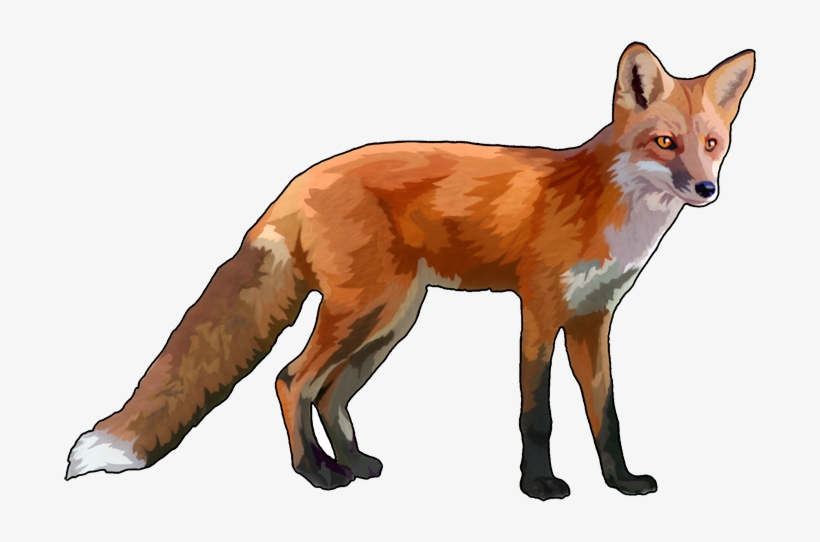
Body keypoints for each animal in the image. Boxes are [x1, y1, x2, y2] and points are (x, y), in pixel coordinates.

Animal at [65, 43, 754, 500]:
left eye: (712, 143)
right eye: (664, 142)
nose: (706, 188)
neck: (608, 205)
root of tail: (297, 182)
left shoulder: (593, 320)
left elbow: (605, 413)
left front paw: (621, 483)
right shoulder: (539, 311)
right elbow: (537, 413)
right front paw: (539, 486)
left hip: (391, 320)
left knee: (330, 393)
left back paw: (352, 463)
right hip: (365, 310)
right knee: (292, 380)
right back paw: (316, 474)